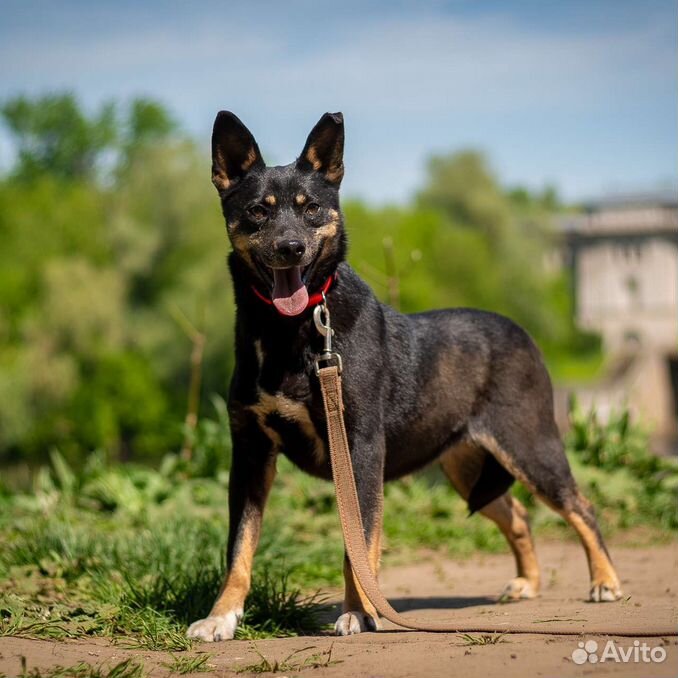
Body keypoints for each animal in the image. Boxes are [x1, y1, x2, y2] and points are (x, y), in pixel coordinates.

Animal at [186, 111, 620, 644]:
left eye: (312, 210)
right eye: (257, 212)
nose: (290, 248)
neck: (291, 329)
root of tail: (521, 332)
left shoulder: (359, 449)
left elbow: (358, 542)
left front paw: (358, 612)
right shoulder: (249, 452)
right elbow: (239, 547)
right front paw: (222, 616)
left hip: (529, 444)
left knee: (582, 506)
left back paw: (605, 582)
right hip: (465, 465)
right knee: (517, 515)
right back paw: (527, 584)